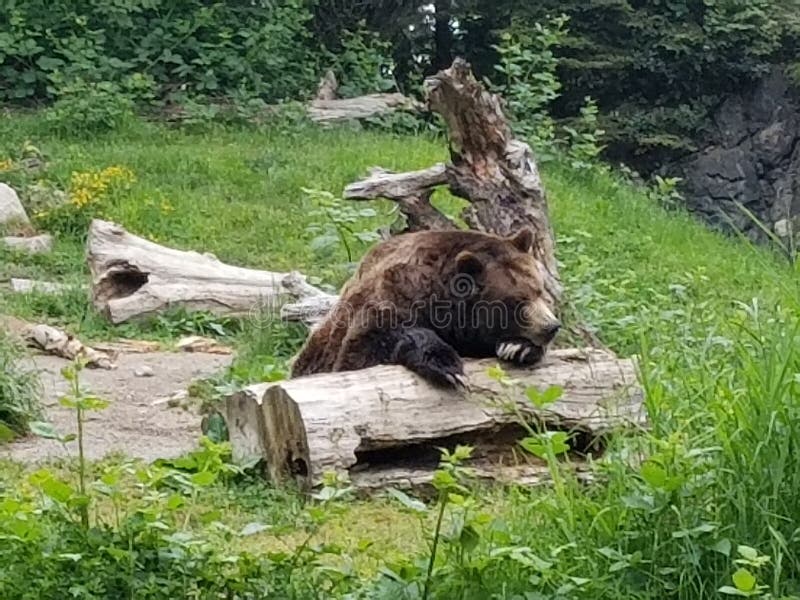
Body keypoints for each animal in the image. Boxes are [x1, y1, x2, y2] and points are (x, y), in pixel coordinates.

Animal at [290, 227, 561, 388]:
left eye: (539, 290)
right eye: (517, 301)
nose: (551, 327)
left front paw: (518, 347)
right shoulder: (392, 299)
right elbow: (366, 349)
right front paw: (448, 368)